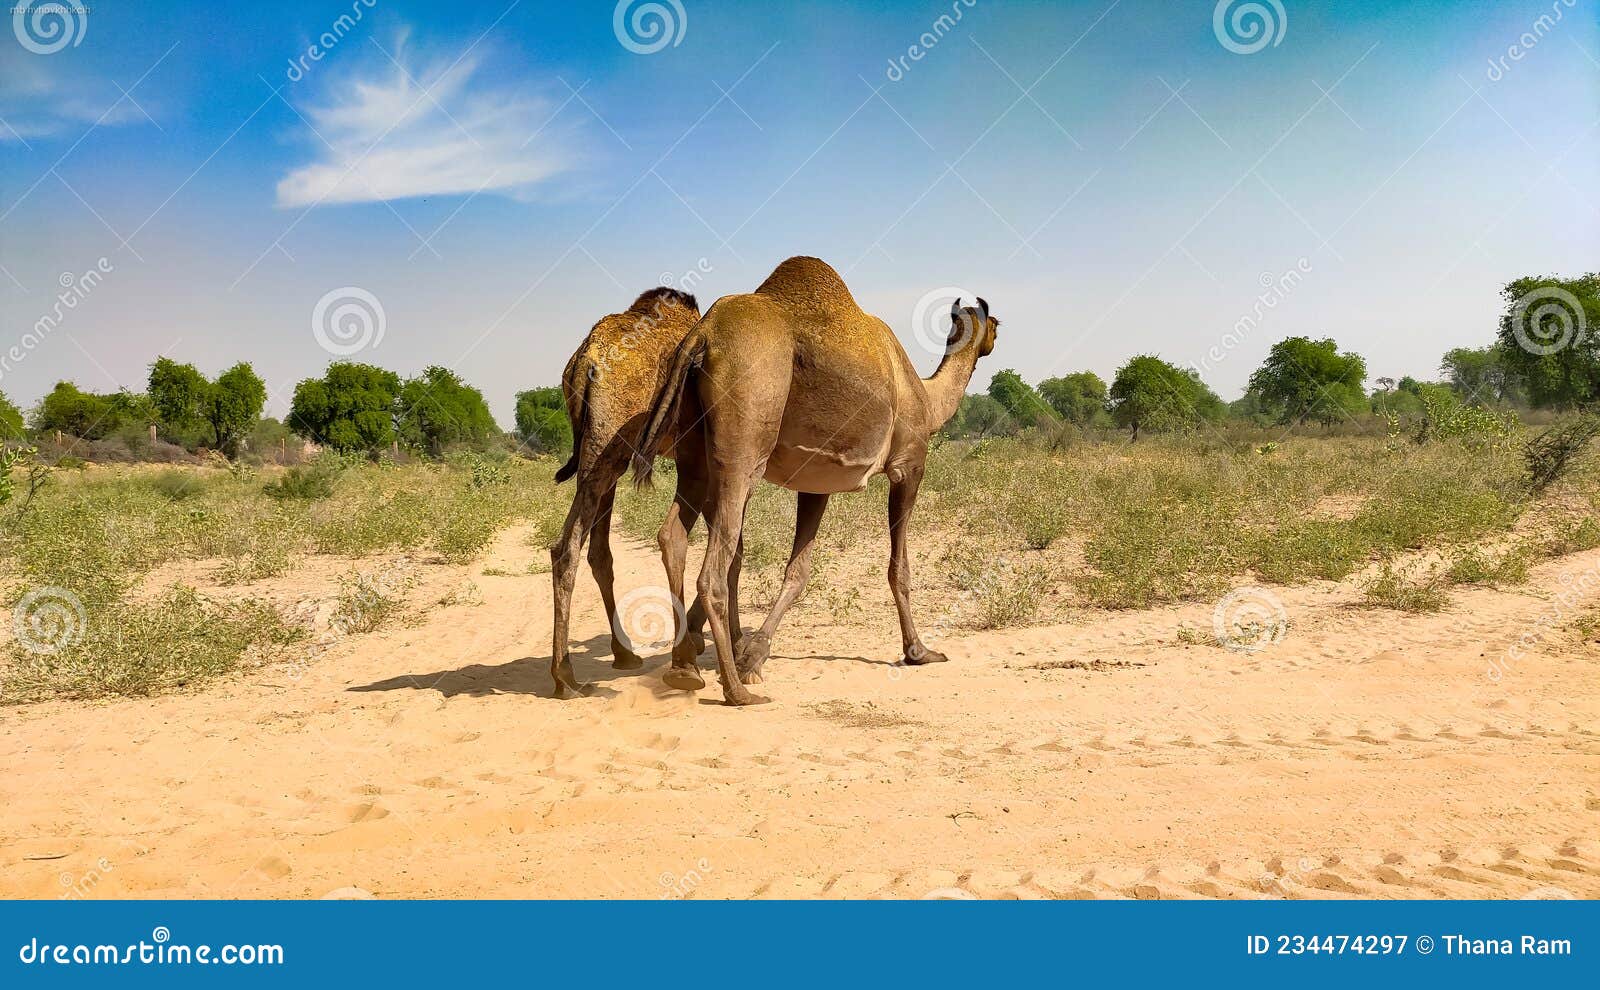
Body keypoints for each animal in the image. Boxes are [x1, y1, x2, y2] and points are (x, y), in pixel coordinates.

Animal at [550, 287, 744, 697]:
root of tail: (585, 362)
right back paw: (570, 675)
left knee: (586, 550)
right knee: (575, 545)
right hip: (611, 440)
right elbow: (734, 550)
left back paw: (612, 657)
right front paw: (731, 647)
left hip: (600, 452)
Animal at [633, 257, 999, 705]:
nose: (995, 336)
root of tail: (701, 336)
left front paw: (749, 653)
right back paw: (737, 691)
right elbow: (900, 568)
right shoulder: (909, 465)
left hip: (694, 451)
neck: (928, 401)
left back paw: (685, 667)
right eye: (994, 323)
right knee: (715, 566)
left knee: (676, 535)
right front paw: (919, 651)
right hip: (745, 441)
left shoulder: (816, 482)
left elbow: (798, 571)